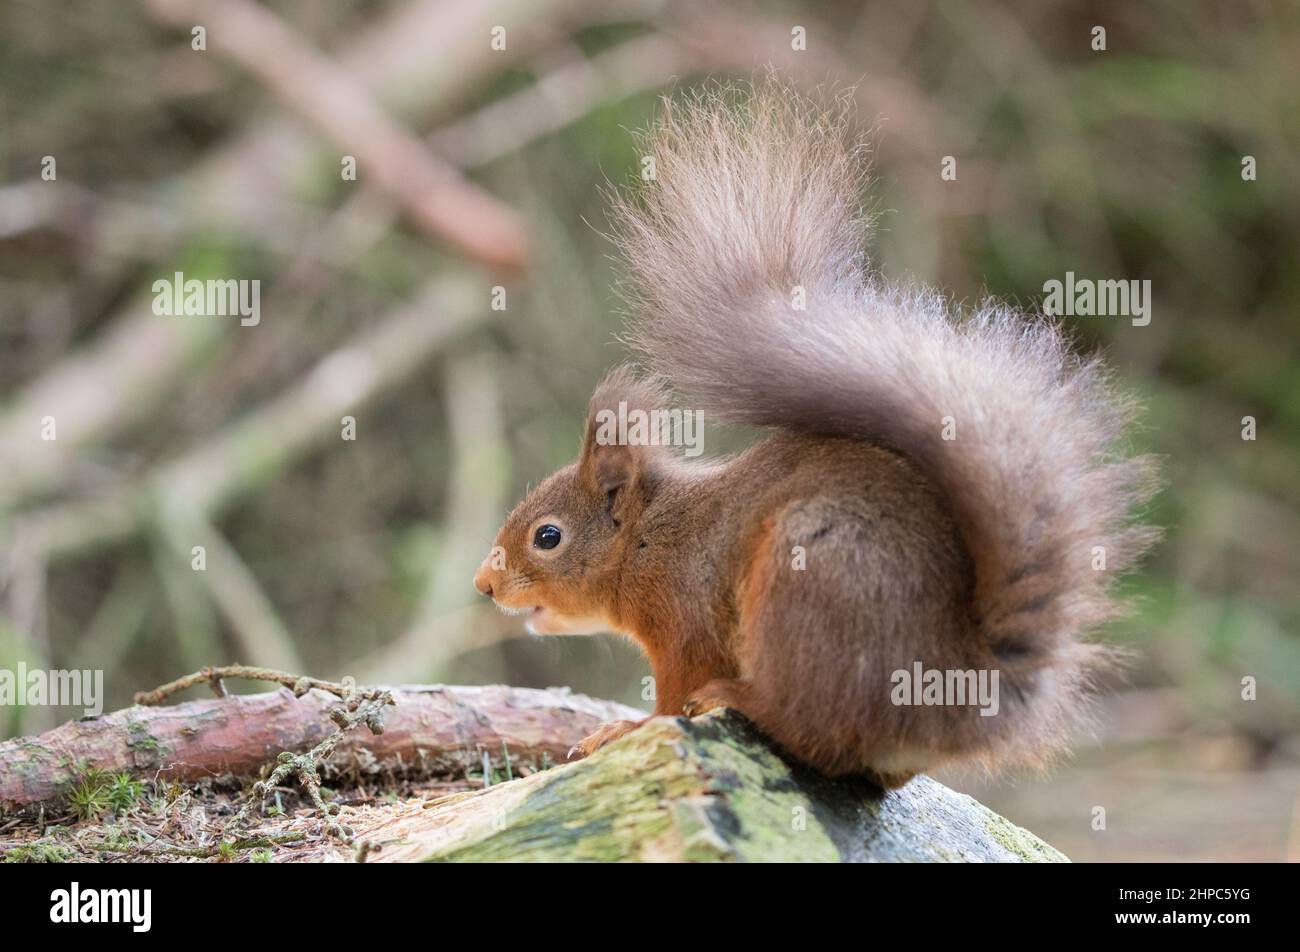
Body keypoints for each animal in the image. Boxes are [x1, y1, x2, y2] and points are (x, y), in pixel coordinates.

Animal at [473, 81, 1159, 788]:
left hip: (807, 580)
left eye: (547, 537)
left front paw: (624, 729)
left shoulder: (686, 621)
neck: (648, 537)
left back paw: (740, 699)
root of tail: (952, 697)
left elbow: (671, 698)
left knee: (811, 730)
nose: (483, 586)